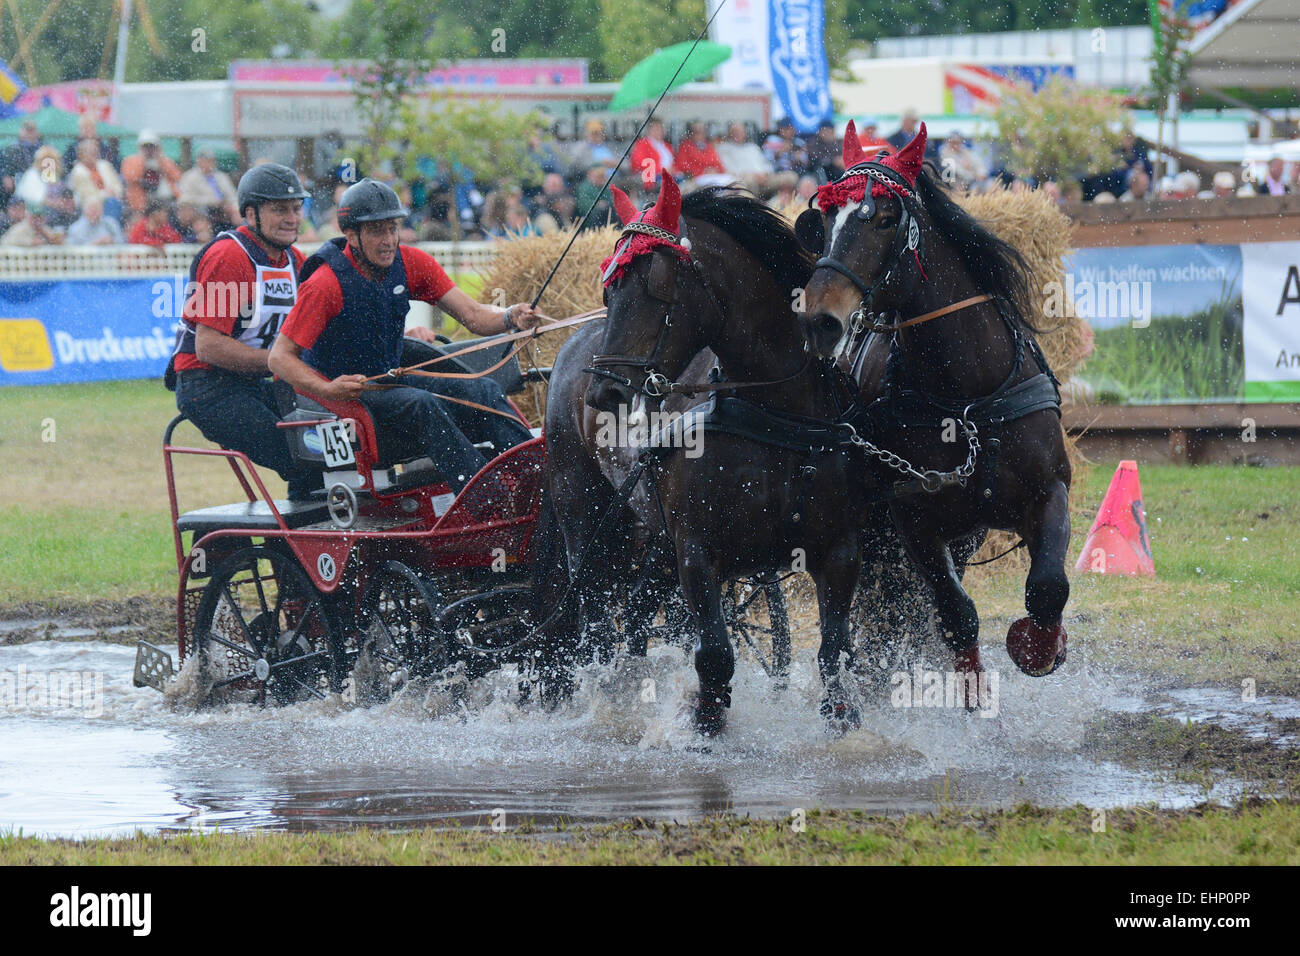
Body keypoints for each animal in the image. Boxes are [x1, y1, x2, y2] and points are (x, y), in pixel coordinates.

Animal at [797, 121, 1072, 688]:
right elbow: (954, 615)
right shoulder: (913, 521)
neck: (970, 401)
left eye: (884, 219)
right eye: (825, 220)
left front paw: (1040, 647)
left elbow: (1047, 587)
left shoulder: (1049, 489)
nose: (820, 321)